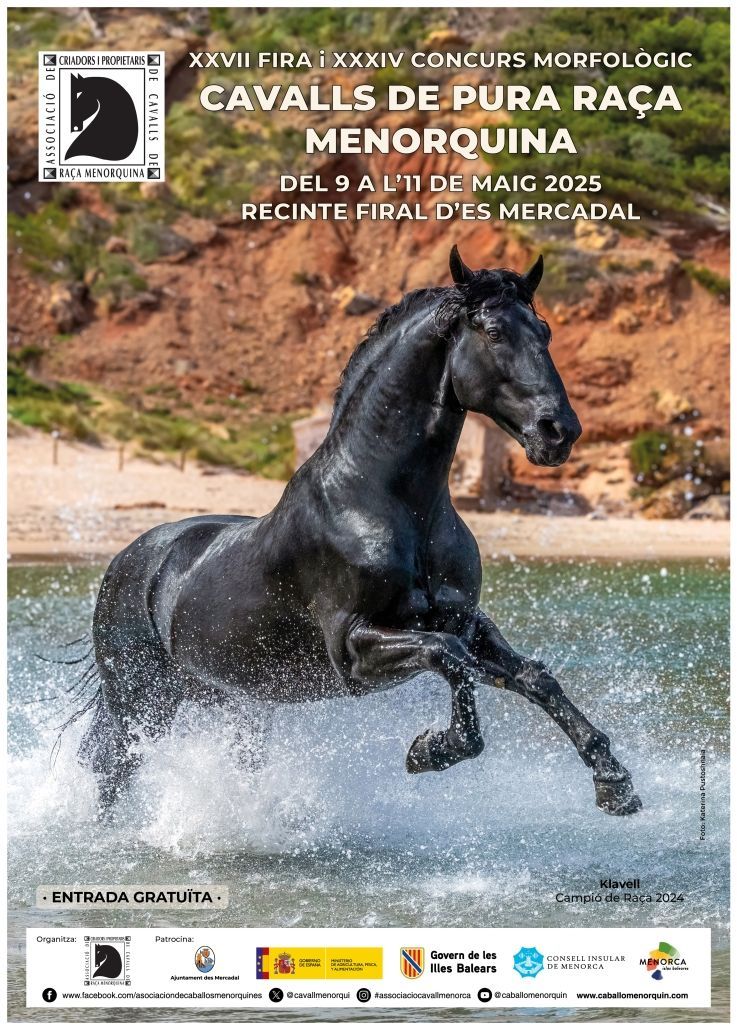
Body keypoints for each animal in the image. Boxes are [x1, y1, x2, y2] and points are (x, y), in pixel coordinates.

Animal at [78, 246, 642, 817]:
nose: (559, 431)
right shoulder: (353, 649)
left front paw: (613, 781)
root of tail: (129, 562)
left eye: (544, 331)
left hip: (227, 698)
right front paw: (430, 750)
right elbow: (448, 657)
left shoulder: (464, 621)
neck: (391, 506)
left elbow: (531, 676)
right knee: (114, 769)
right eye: (493, 331)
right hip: (141, 701)